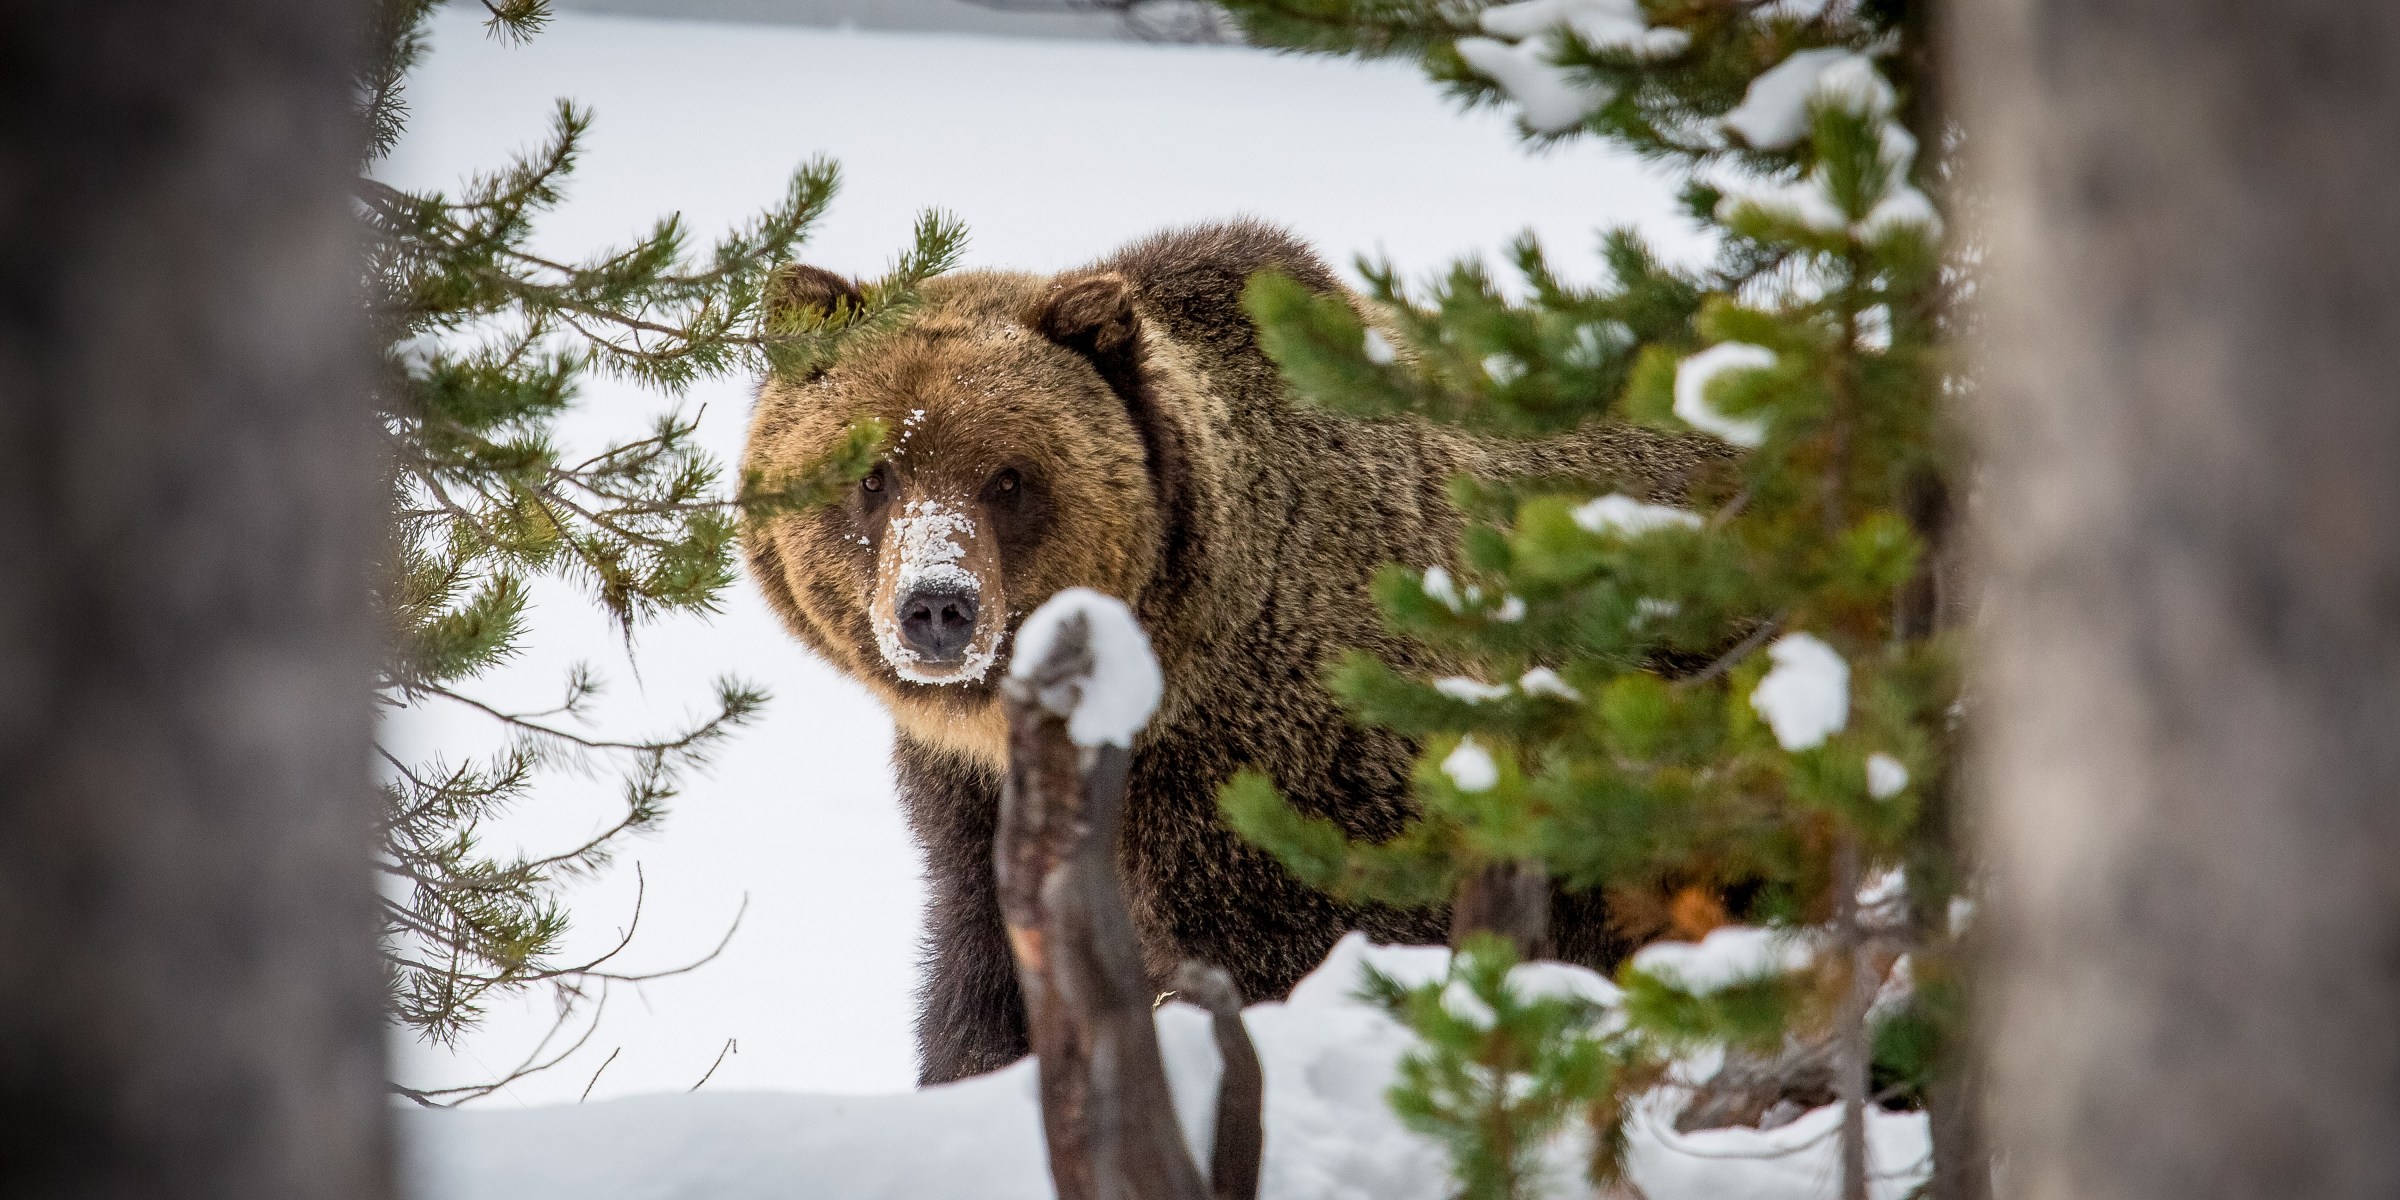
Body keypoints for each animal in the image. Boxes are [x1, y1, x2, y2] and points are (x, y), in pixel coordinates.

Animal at [741, 221, 1728, 1085]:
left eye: (1009, 477)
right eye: (873, 476)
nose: (938, 606)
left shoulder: (1286, 783)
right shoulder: (973, 807)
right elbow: (985, 992)